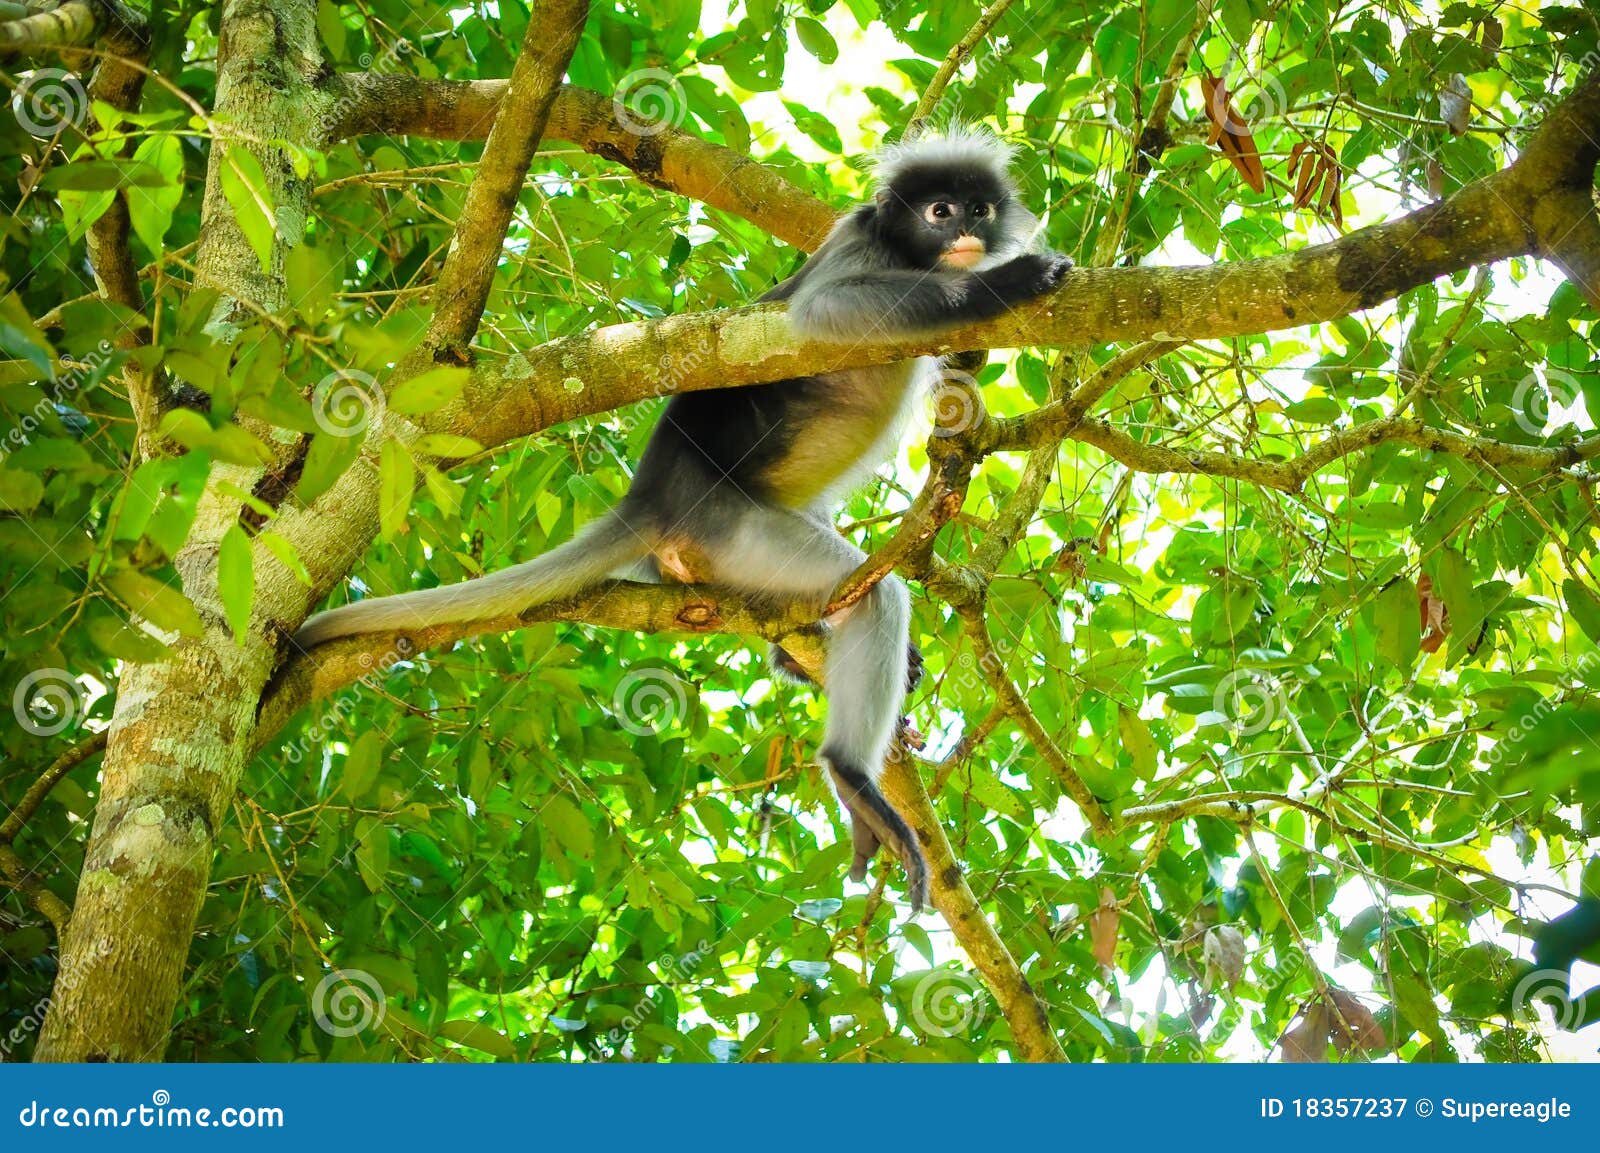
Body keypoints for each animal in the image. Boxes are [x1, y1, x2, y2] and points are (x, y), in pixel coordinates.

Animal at [294, 126, 1072, 913]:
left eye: (979, 208)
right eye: (940, 210)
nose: (968, 231)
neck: (905, 251)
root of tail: (655, 493)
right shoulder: (858, 250)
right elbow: (823, 313)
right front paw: (1003, 282)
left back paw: (799, 660)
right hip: (732, 530)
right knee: (873, 592)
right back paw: (851, 772)